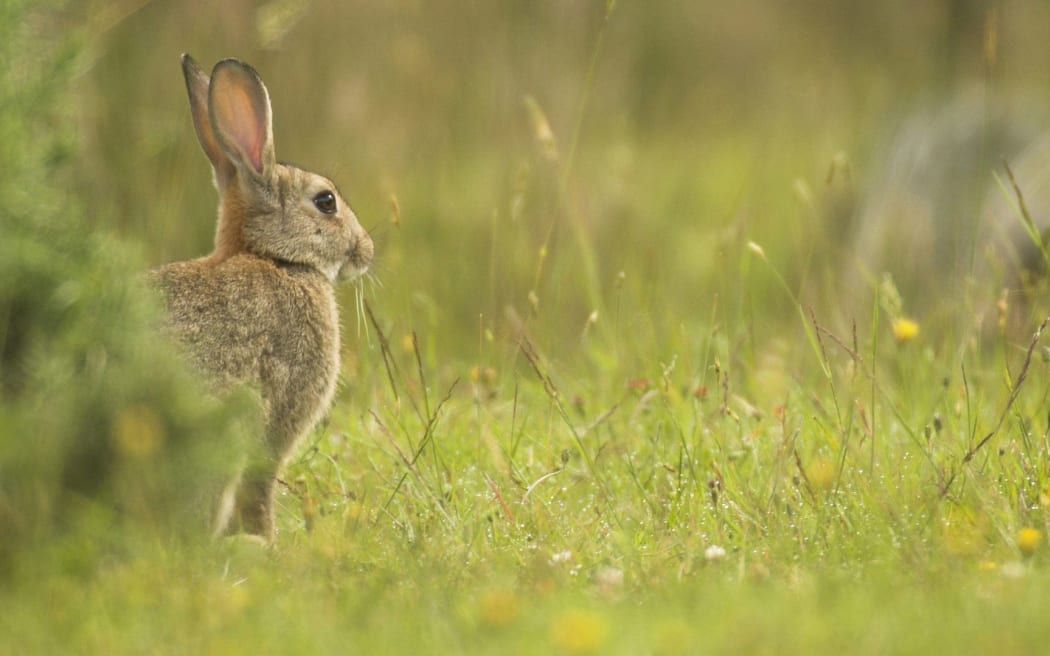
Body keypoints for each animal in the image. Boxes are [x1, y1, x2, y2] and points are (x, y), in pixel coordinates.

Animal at [149, 55, 374, 540]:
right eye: (326, 201)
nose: (366, 250)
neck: (275, 258)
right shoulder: (281, 416)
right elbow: (261, 487)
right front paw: (266, 540)